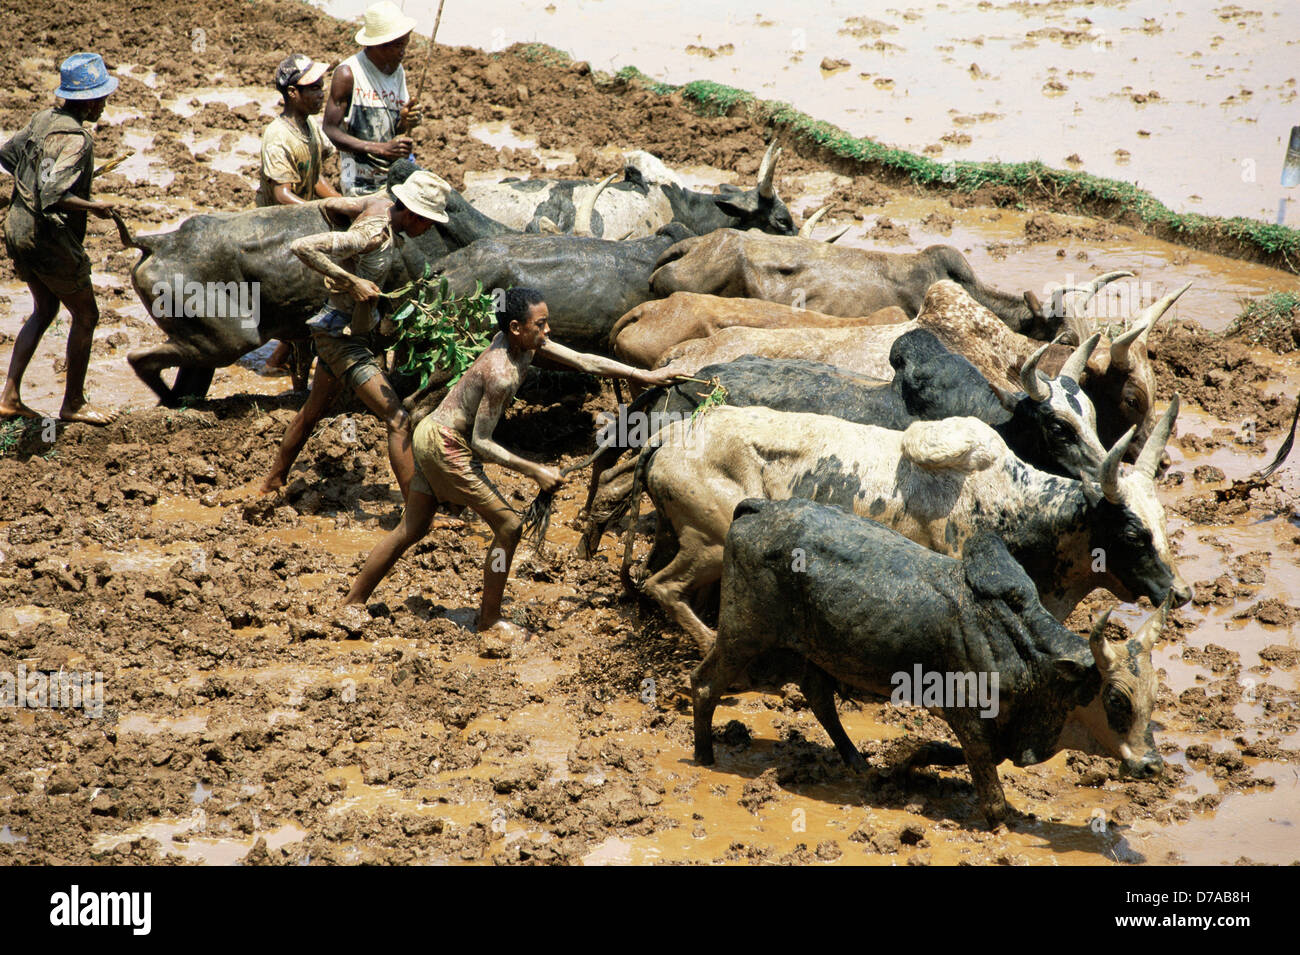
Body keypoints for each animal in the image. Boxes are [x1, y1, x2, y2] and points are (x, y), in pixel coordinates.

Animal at [623, 398, 1189, 650]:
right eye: (1133, 533)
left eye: (1162, 523)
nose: (1180, 592)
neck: (1017, 506)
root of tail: (668, 436)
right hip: (712, 542)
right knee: (662, 587)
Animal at [693, 496, 1169, 827]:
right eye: (1116, 700)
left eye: (1153, 699)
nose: (1151, 765)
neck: (1027, 652)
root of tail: (758, 508)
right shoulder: (963, 710)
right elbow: (990, 785)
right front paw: (1001, 822)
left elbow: (970, 756)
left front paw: (908, 761)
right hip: (743, 633)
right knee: (703, 684)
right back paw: (704, 755)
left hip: (816, 648)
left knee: (818, 696)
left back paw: (856, 760)